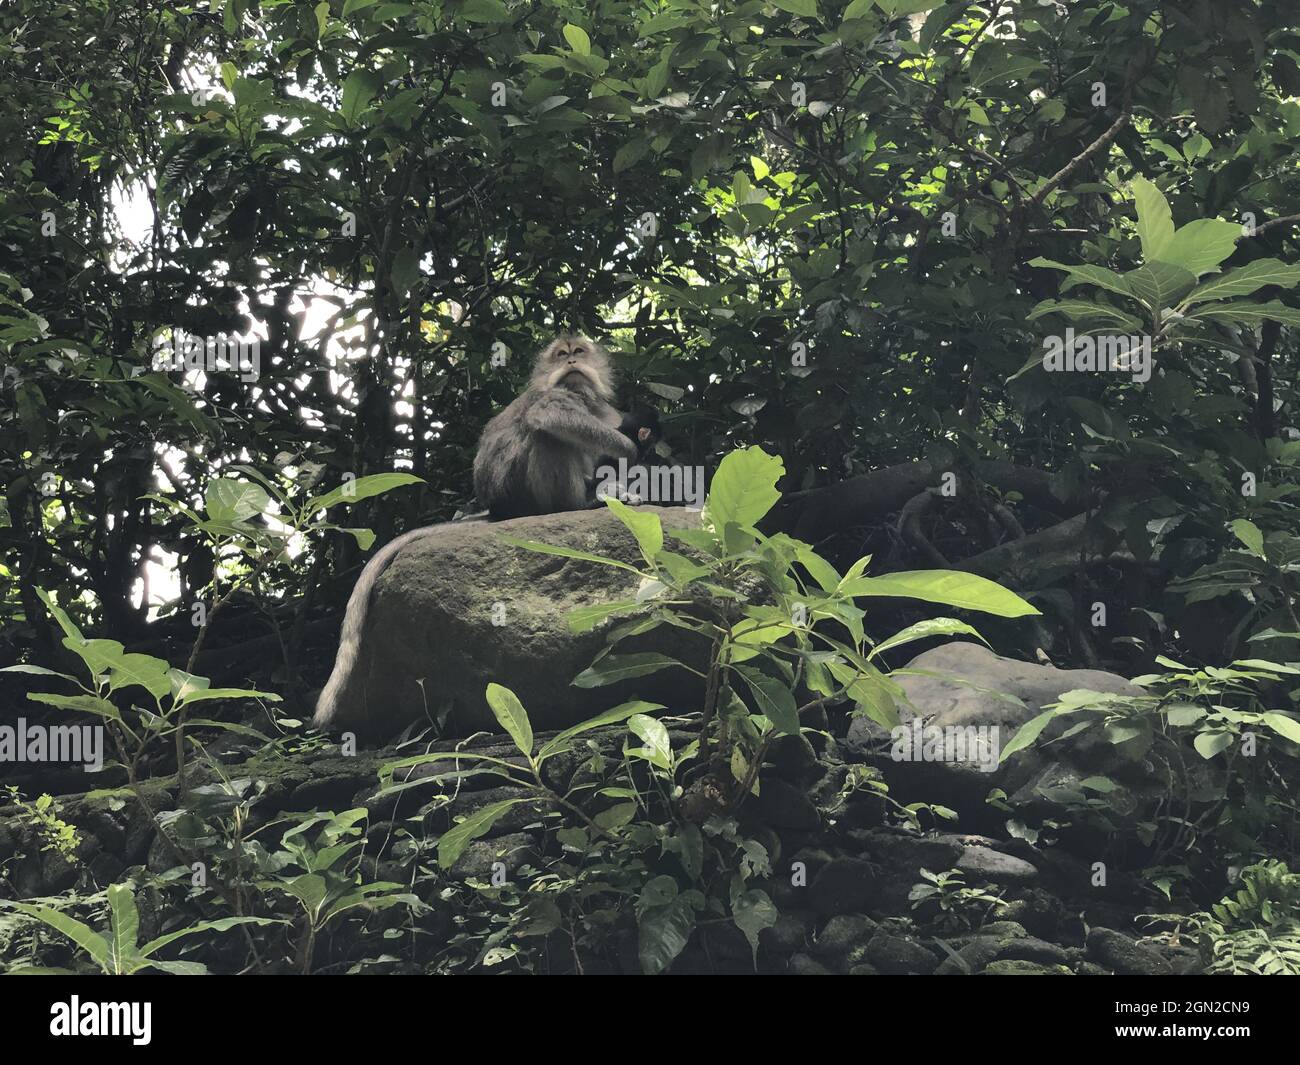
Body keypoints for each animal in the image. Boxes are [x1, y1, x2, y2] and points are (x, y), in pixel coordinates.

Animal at [472, 335, 638, 520]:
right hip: (522, 500)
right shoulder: (552, 393)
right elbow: (548, 412)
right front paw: (629, 448)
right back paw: (579, 504)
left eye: (578, 351)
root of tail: (495, 509)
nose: (571, 361)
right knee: (549, 437)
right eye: (562, 354)